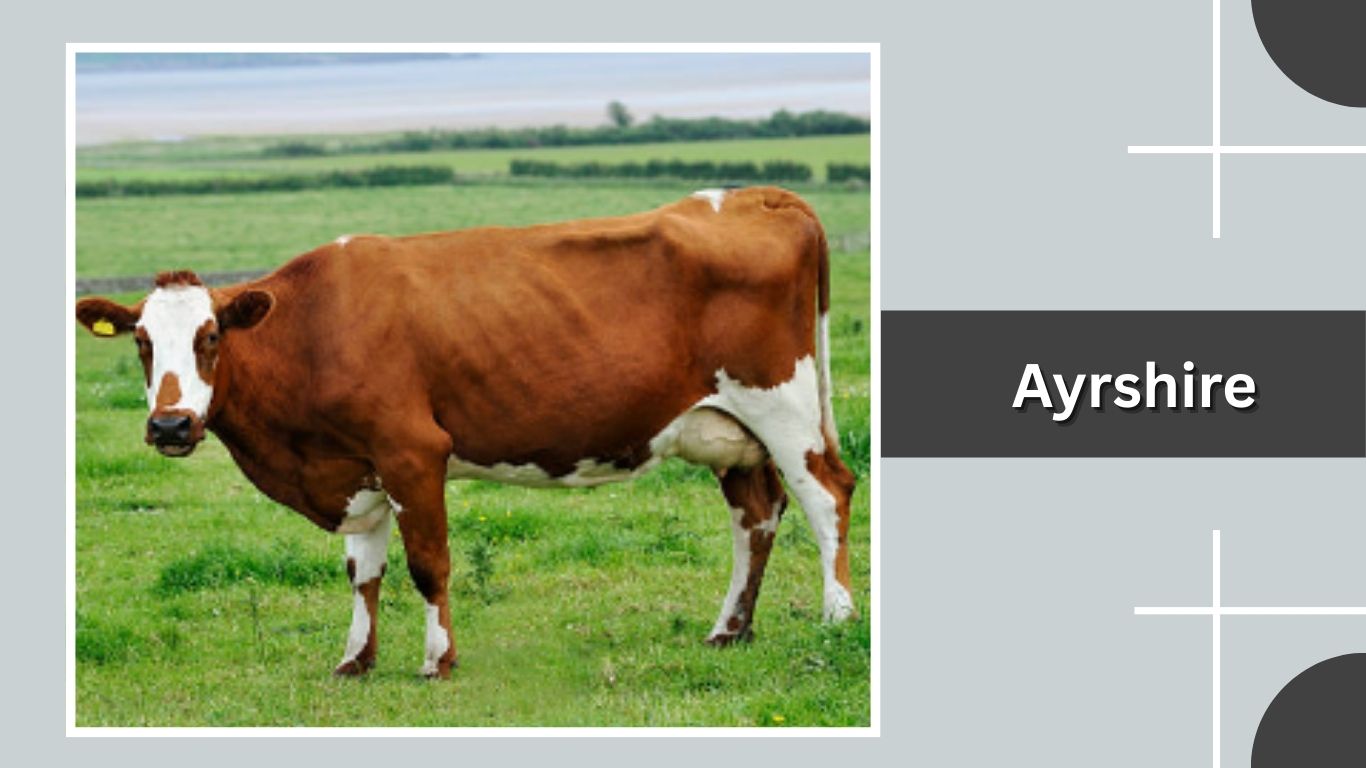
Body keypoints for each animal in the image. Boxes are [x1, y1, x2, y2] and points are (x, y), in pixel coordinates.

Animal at [75, 186, 858, 679]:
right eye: (141, 342)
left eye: (210, 337)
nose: (170, 424)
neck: (315, 330)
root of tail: (756, 195)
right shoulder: (359, 468)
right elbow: (363, 572)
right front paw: (355, 660)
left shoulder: (413, 451)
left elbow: (428, 565)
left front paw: (436, 659)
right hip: (729, 430)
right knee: (756, 516)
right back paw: (730, 629)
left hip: (783, 406)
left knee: (826, 496)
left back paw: (838, 616)